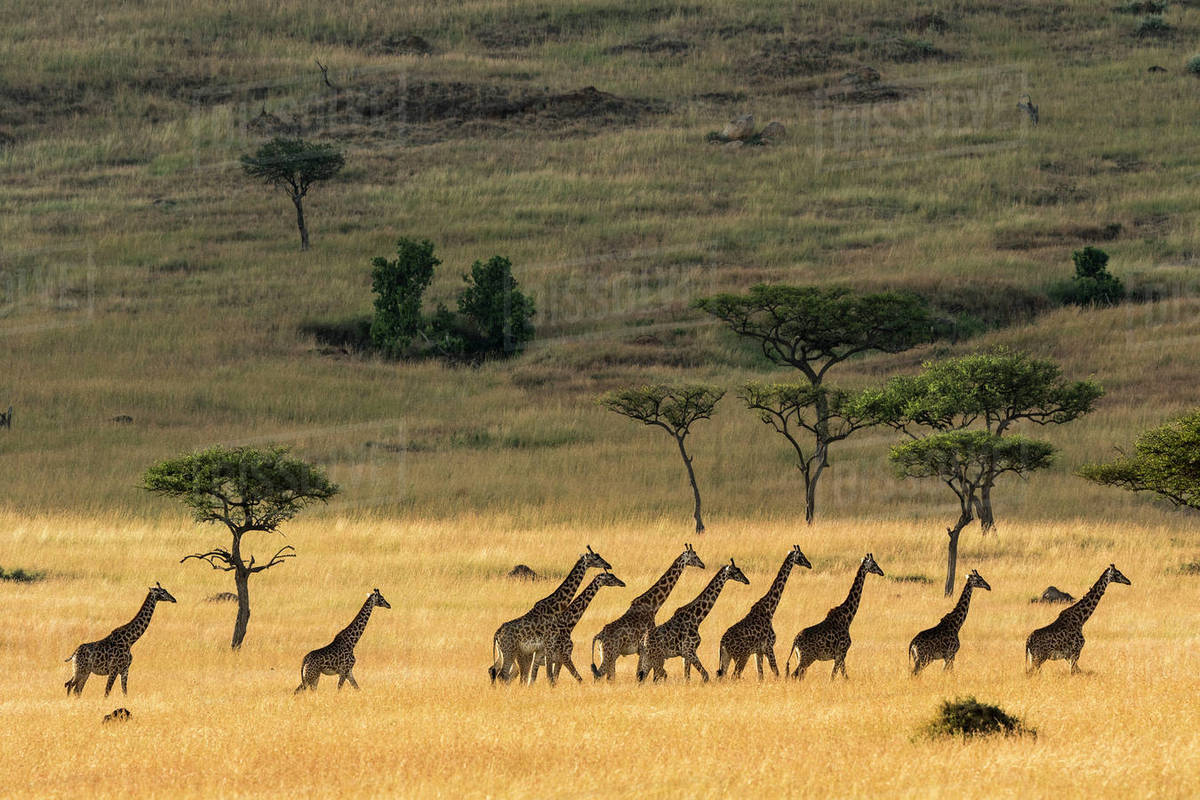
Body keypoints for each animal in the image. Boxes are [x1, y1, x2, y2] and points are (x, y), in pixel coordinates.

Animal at [489, 546, 612, 685]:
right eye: (596, 557)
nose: (609, 565)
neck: (556, 606)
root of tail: (497, 633)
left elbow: (535, 677)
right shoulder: (547, 646)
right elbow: (547, 675)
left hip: (505, 653)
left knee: (495, 670)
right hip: (510, 653)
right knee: (503, 674)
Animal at [590, 543, 705, 681]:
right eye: (695, 556)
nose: (702, 565)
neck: (652, 606)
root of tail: (599, 636)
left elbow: (642, 674)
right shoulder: (643, 649)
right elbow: (646, 674)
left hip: (605, 654)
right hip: (610, 654)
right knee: (600, 675)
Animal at [716, 544, 812, 680]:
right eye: (801, 556)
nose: (809, 564)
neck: (770, 609)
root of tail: (722, 644)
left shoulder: (758, 651)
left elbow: (761, 676)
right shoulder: (769, 647)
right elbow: (776, 672)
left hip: (727, 657)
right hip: (741, 656)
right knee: (734, 676)